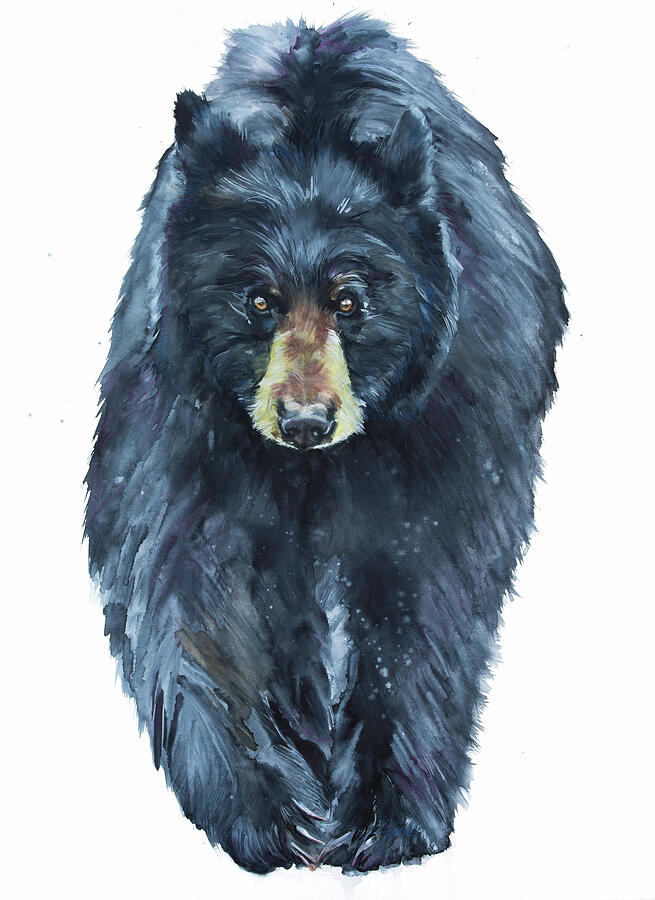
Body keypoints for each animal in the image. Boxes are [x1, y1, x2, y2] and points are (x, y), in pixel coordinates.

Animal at [85, 14, 567, 874]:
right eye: (256, 300)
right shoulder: (187, 421)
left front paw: (386, 821)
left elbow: (423, 597)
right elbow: (186, 588)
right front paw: (264, 815)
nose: (305, 420)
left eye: (351, 302)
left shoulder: (444, 422)